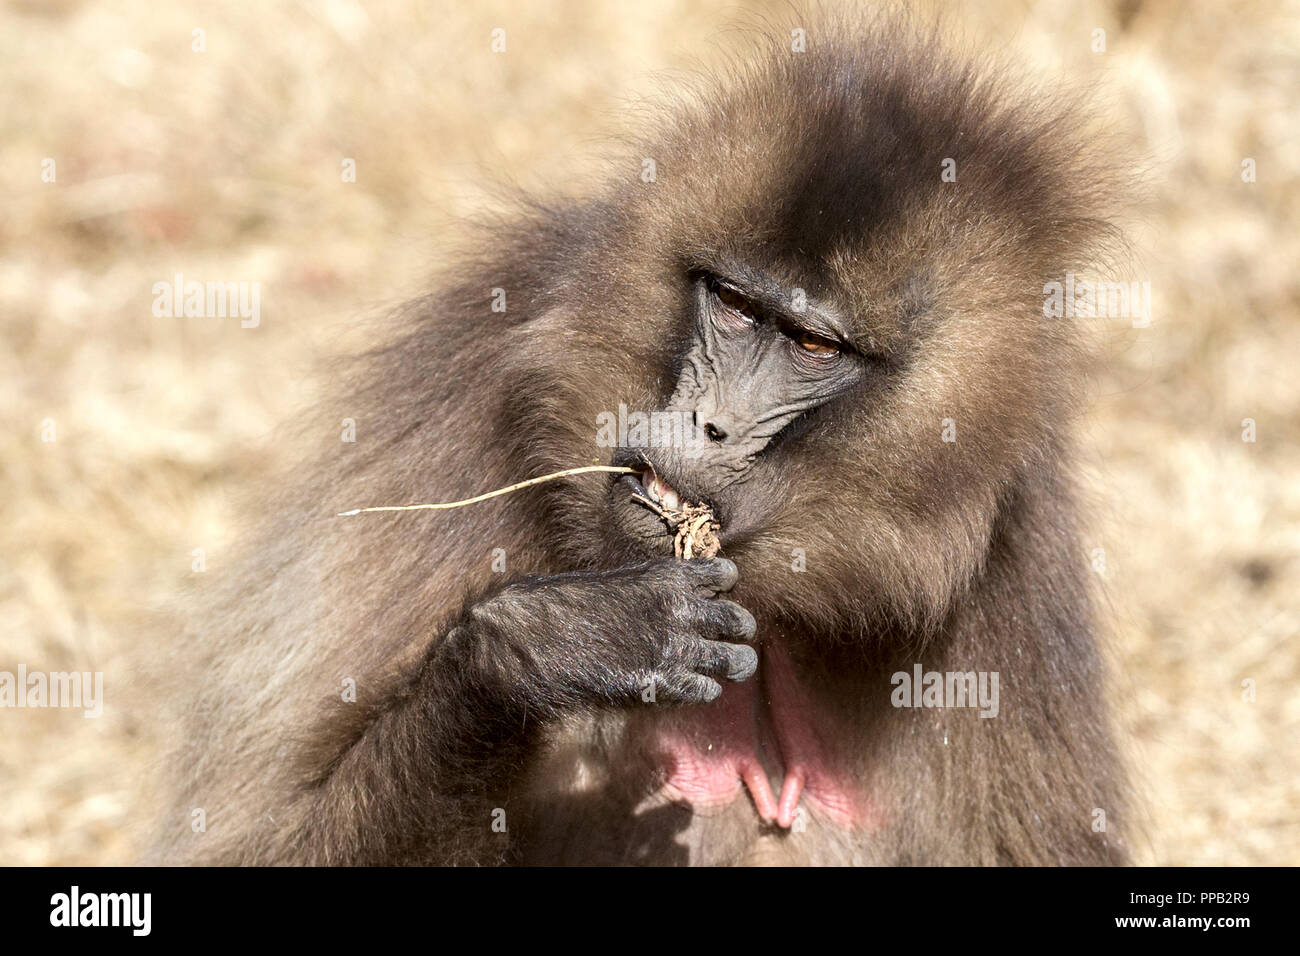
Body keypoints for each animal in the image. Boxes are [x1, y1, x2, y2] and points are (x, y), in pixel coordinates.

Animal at [149, 16, 1131, 866]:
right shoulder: (457, 408)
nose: (708, 425)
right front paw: (562, 644)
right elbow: (255, 840)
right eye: (732, 304)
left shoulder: (1010, 537)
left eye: (814, 346)